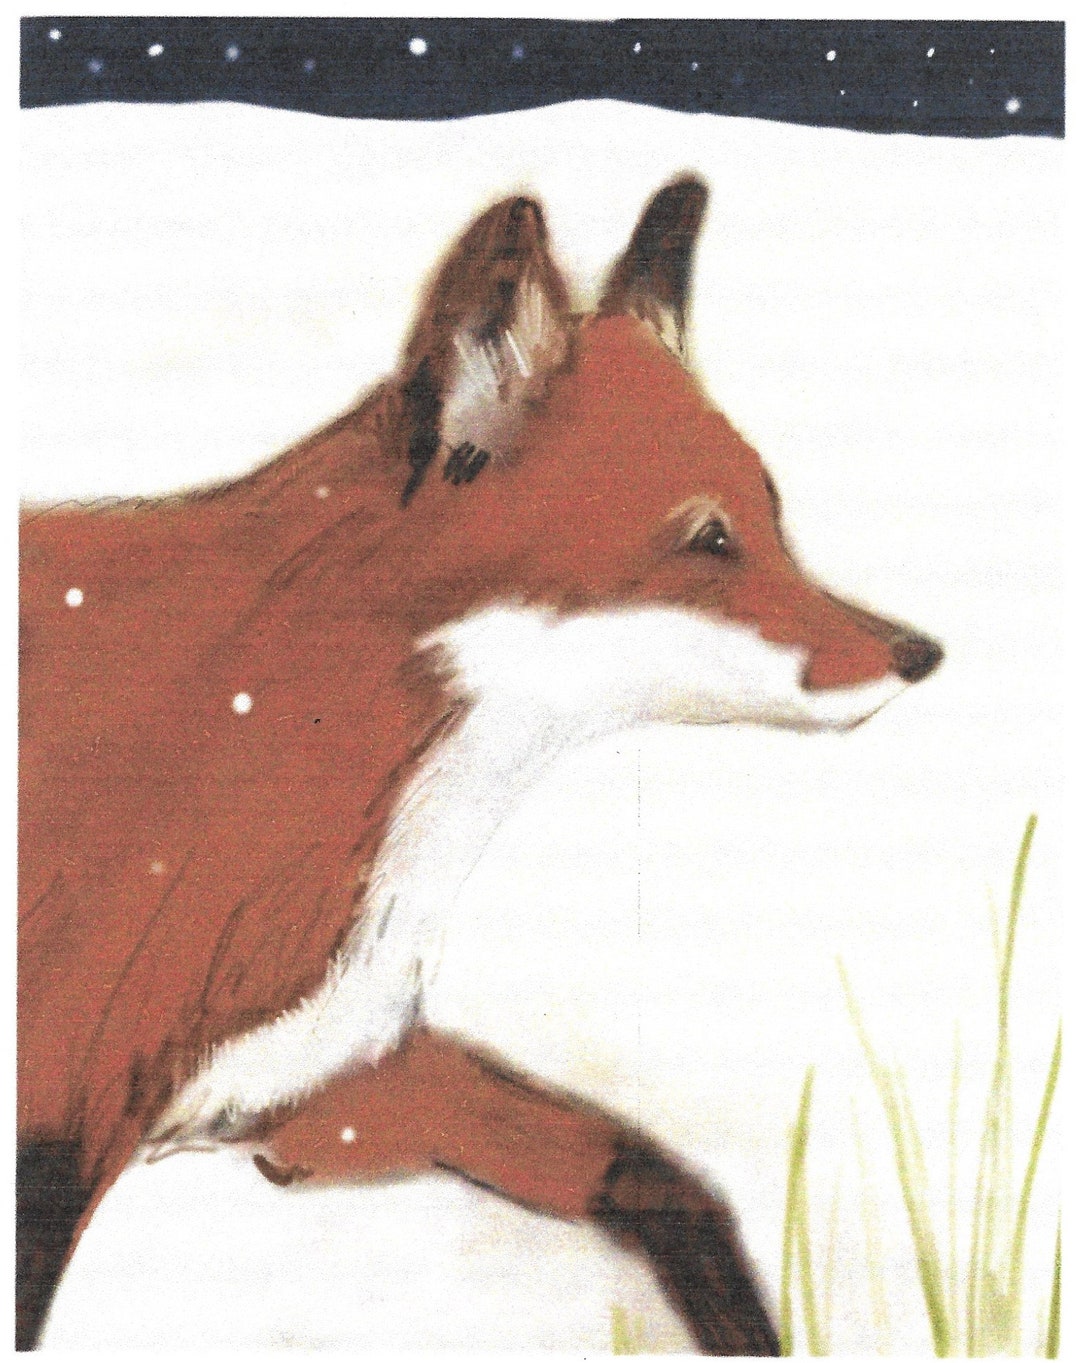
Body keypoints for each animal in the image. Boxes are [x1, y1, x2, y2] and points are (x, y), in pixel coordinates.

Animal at [18, 175, 943, 1352]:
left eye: (776, 523)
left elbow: (658, 1180)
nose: (918, 653)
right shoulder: (51, 1127)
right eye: (708, 540)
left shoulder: (318, 1090)